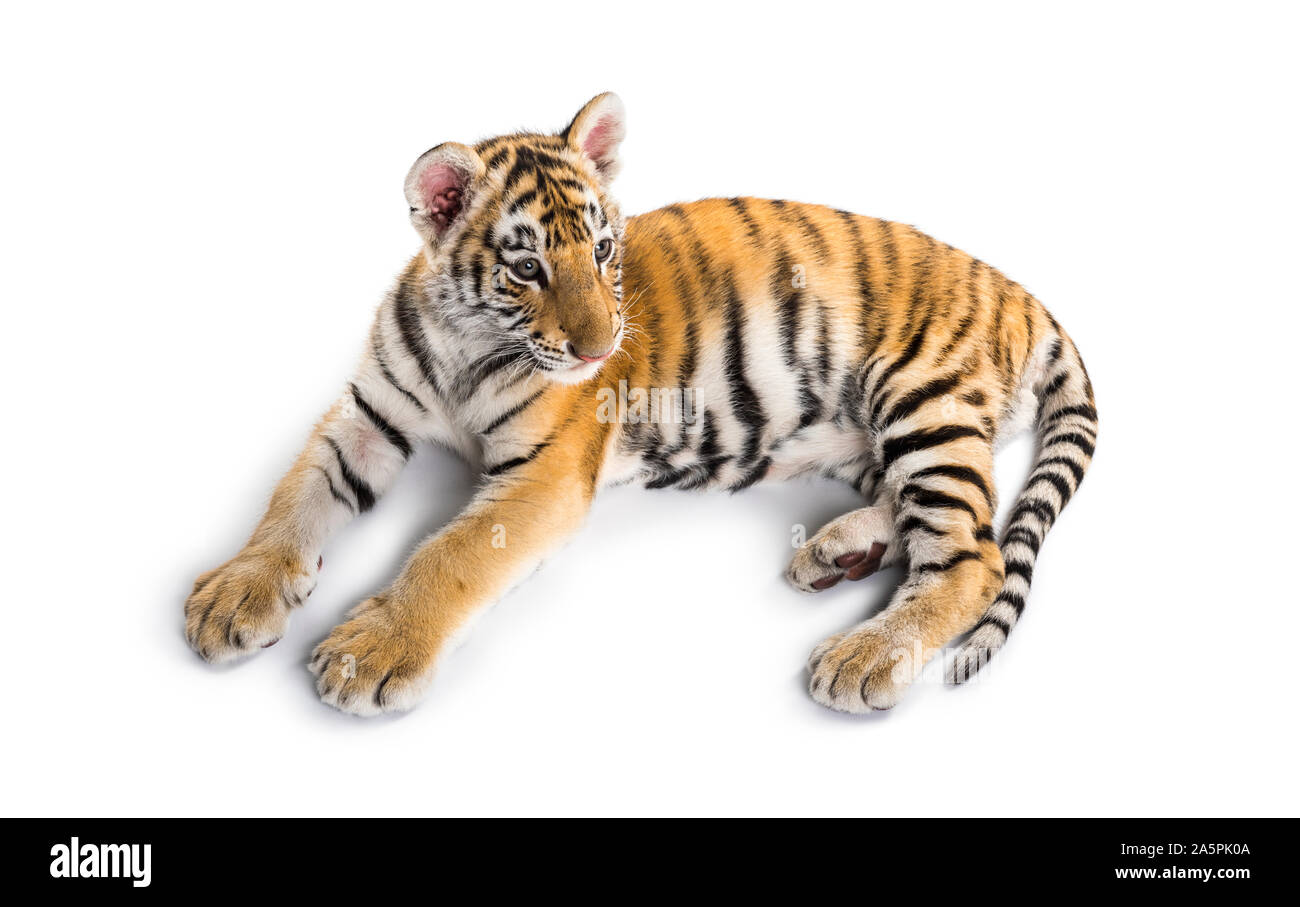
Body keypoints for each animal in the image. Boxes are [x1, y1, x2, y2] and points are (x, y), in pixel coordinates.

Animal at [184, 93, 1097, 716]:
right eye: (527, 268)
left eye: (602, 249)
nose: (597, 350)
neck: (463, 344)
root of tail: (1023, 294)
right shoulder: (366, 413)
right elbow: (295, 497)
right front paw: (234, 595)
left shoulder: (545, 472)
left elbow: (454, 553)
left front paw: (370, 651)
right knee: (933, 522)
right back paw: (838, 553)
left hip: (921, 399)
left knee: (973, 555)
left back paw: (863, 656)